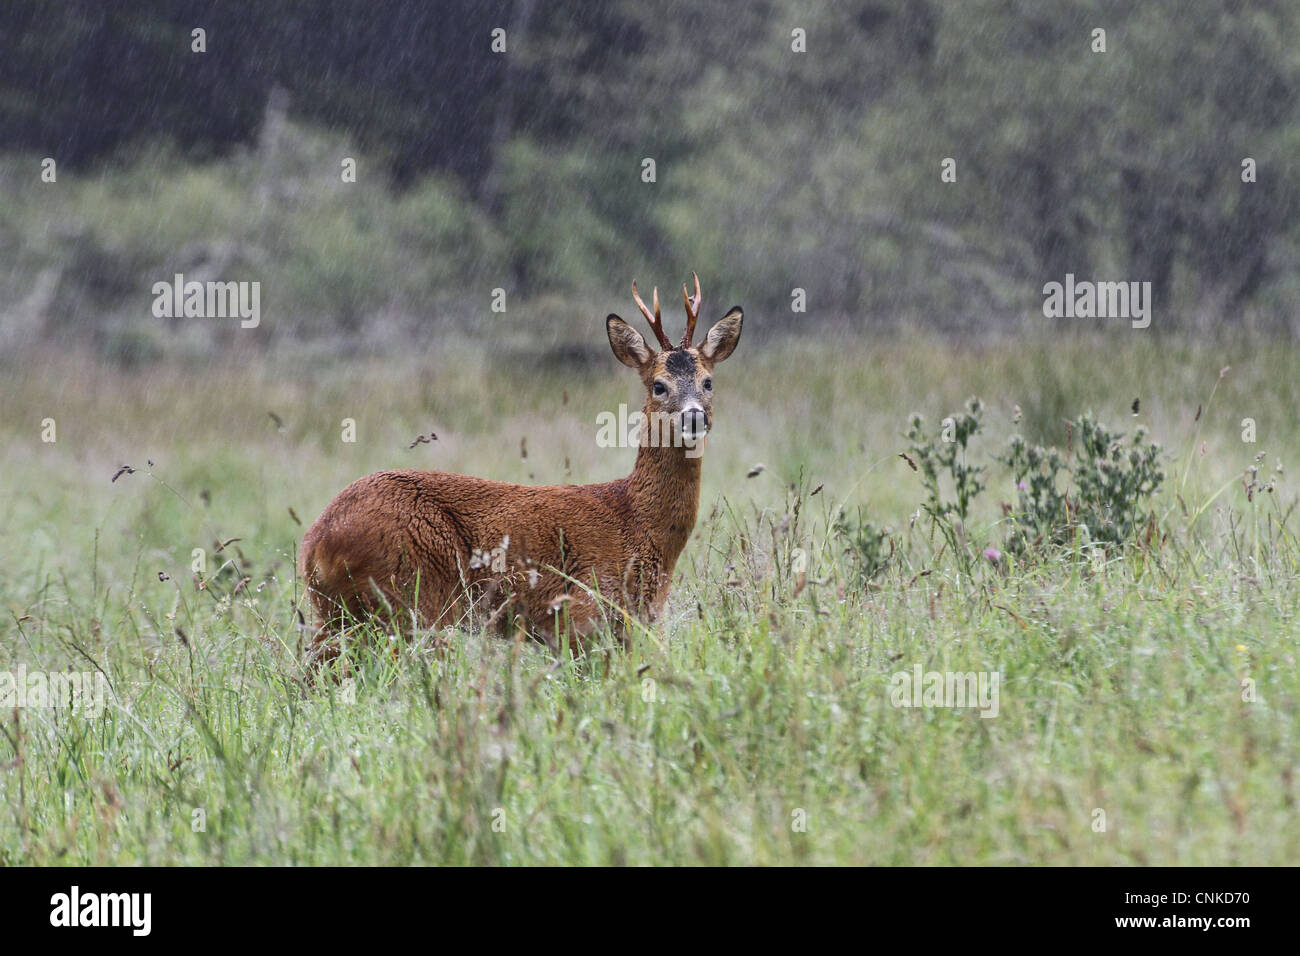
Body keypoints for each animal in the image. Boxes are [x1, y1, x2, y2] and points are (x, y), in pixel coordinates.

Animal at [299, 274, 743, 656]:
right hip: (408, 596)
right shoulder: (580, 612)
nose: (693, 417)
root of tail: (312, 546)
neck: (636, 523)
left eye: (708, 381)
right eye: (658, 385)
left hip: (339, 612)